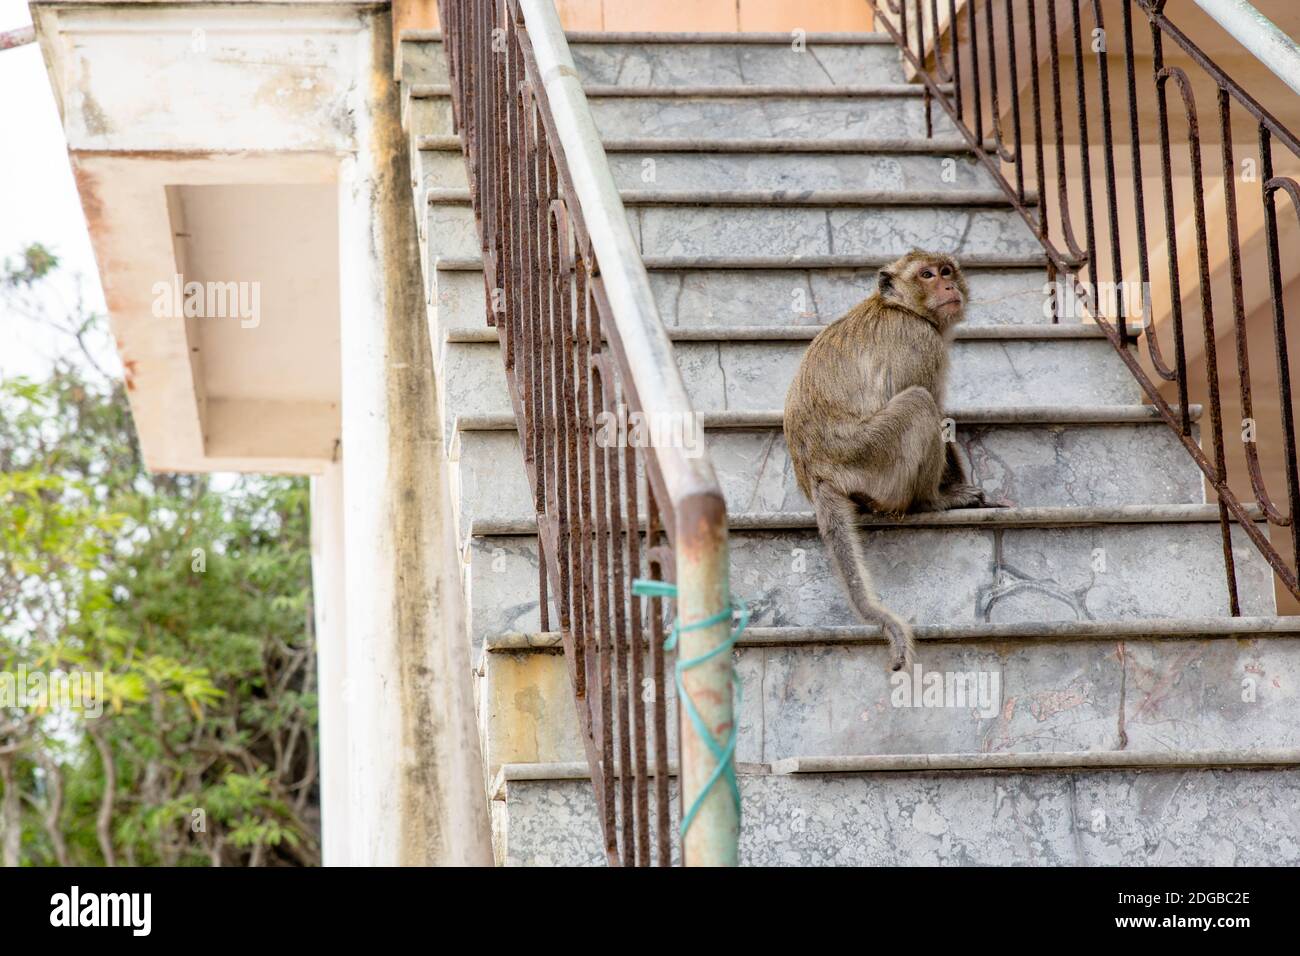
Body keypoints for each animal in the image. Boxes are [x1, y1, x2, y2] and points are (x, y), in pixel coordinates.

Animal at [784, 250, 1004, 671]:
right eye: (927, 275)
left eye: (946, 271)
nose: (947, 285)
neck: (900, 307)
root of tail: (818, 474)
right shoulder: (919, 342)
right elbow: (934, 408)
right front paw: (955, 490)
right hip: (873, 458)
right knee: (918, 401)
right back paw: (932, 500)